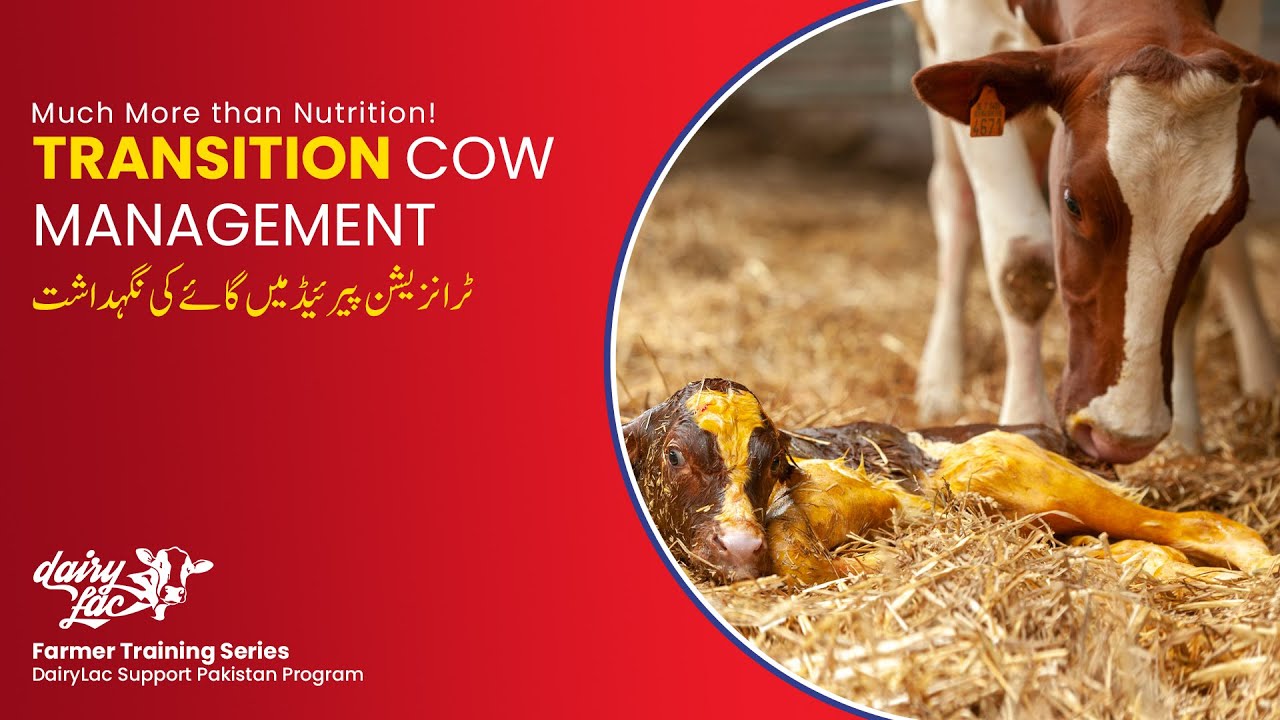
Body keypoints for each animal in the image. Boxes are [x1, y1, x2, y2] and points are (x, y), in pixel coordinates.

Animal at [623, 379, 1275, 585]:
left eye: (770, 462)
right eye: (674, 455)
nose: (738, 545)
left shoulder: (868, 491)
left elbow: (794, 552)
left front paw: (879, 560)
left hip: (1005, 470)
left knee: (1201, 524)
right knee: (1135, 549)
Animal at [903, 0, 1280, 463]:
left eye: (1228, 218)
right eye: (1072, 203)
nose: (1119, 439)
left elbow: (1197, 285)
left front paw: (1185, 436)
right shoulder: (963, 29)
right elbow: (1022, 263)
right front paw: (1022, 422)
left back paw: (1263, 372)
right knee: (954, 198)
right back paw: (941, 378)